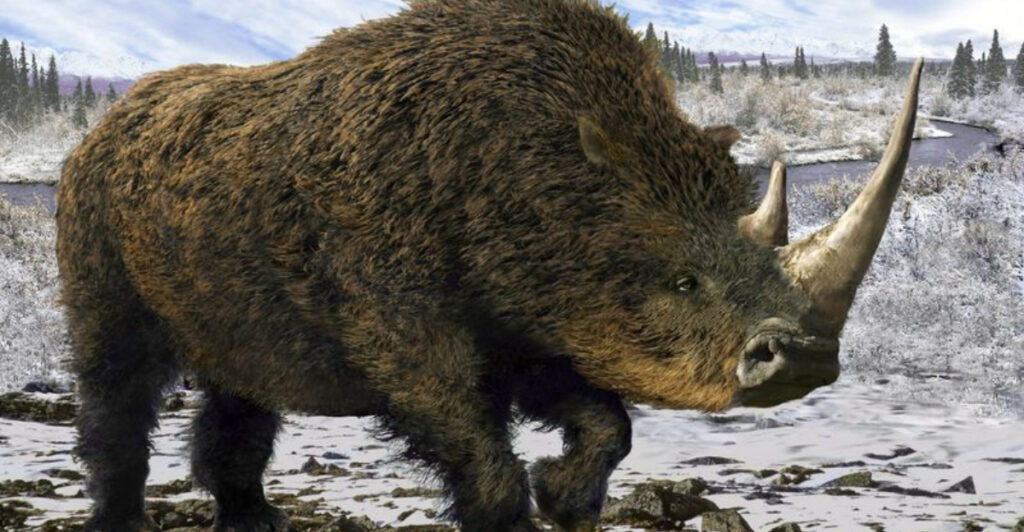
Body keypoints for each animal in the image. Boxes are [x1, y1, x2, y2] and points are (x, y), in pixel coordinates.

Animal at [55, 0, 922, 530]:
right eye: (683, 280)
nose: (803, 359)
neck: (549, 179)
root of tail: (101, 126)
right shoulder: (404, 325)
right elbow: (475, 445)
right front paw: (525, 506)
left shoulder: (539, 316)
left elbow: (606, 422)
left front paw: (567, 498)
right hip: (92, 223)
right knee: (118, 375)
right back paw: (122, 518)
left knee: (241, 376)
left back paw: (257, 520)